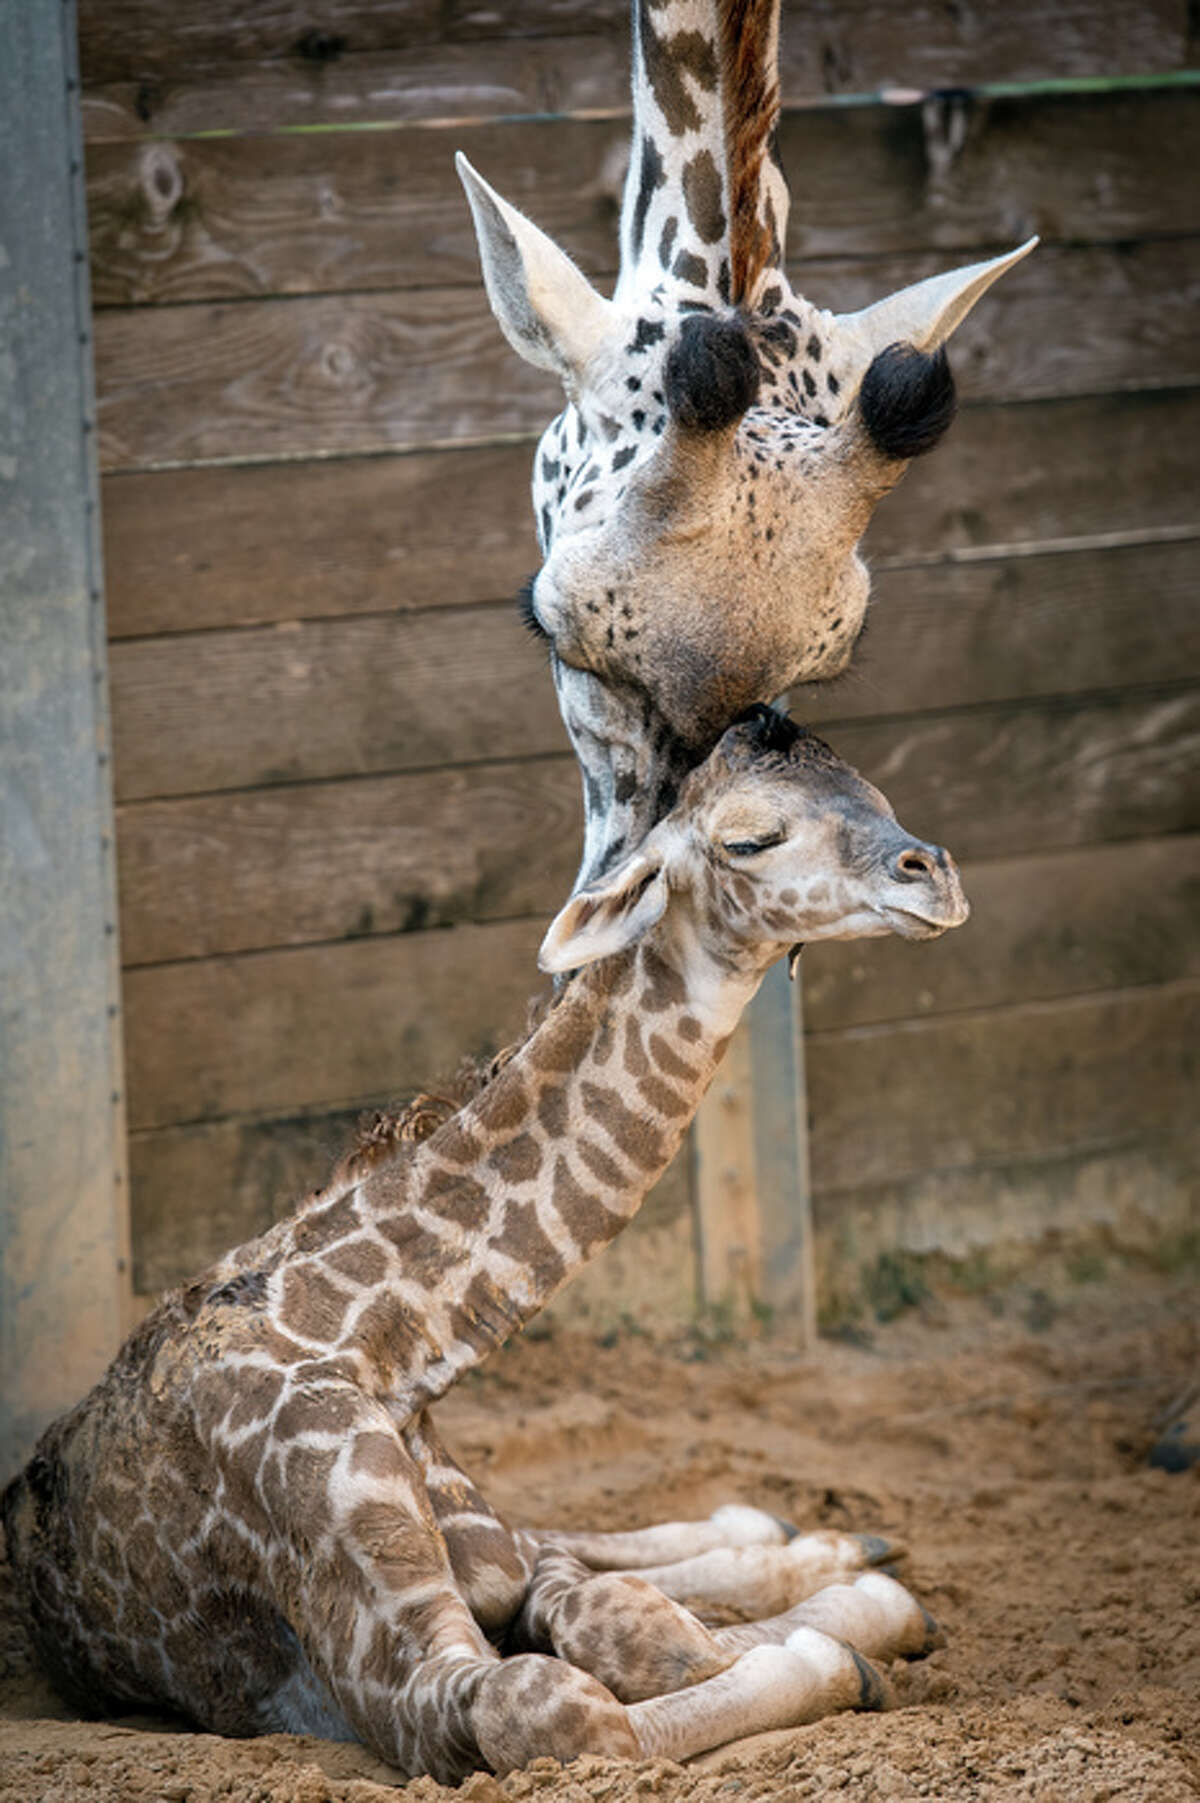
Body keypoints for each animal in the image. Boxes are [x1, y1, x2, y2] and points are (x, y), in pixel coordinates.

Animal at [4, 708, 968, 1781]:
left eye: (878, 791)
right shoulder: (395, 1688)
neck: (371, 1341)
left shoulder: (498, 1561)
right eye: (750, 838)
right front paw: (854, 1631)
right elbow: (566, 1695)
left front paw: (858, 1605)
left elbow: (611, 1611)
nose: (934, 874)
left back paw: (814, 1537)